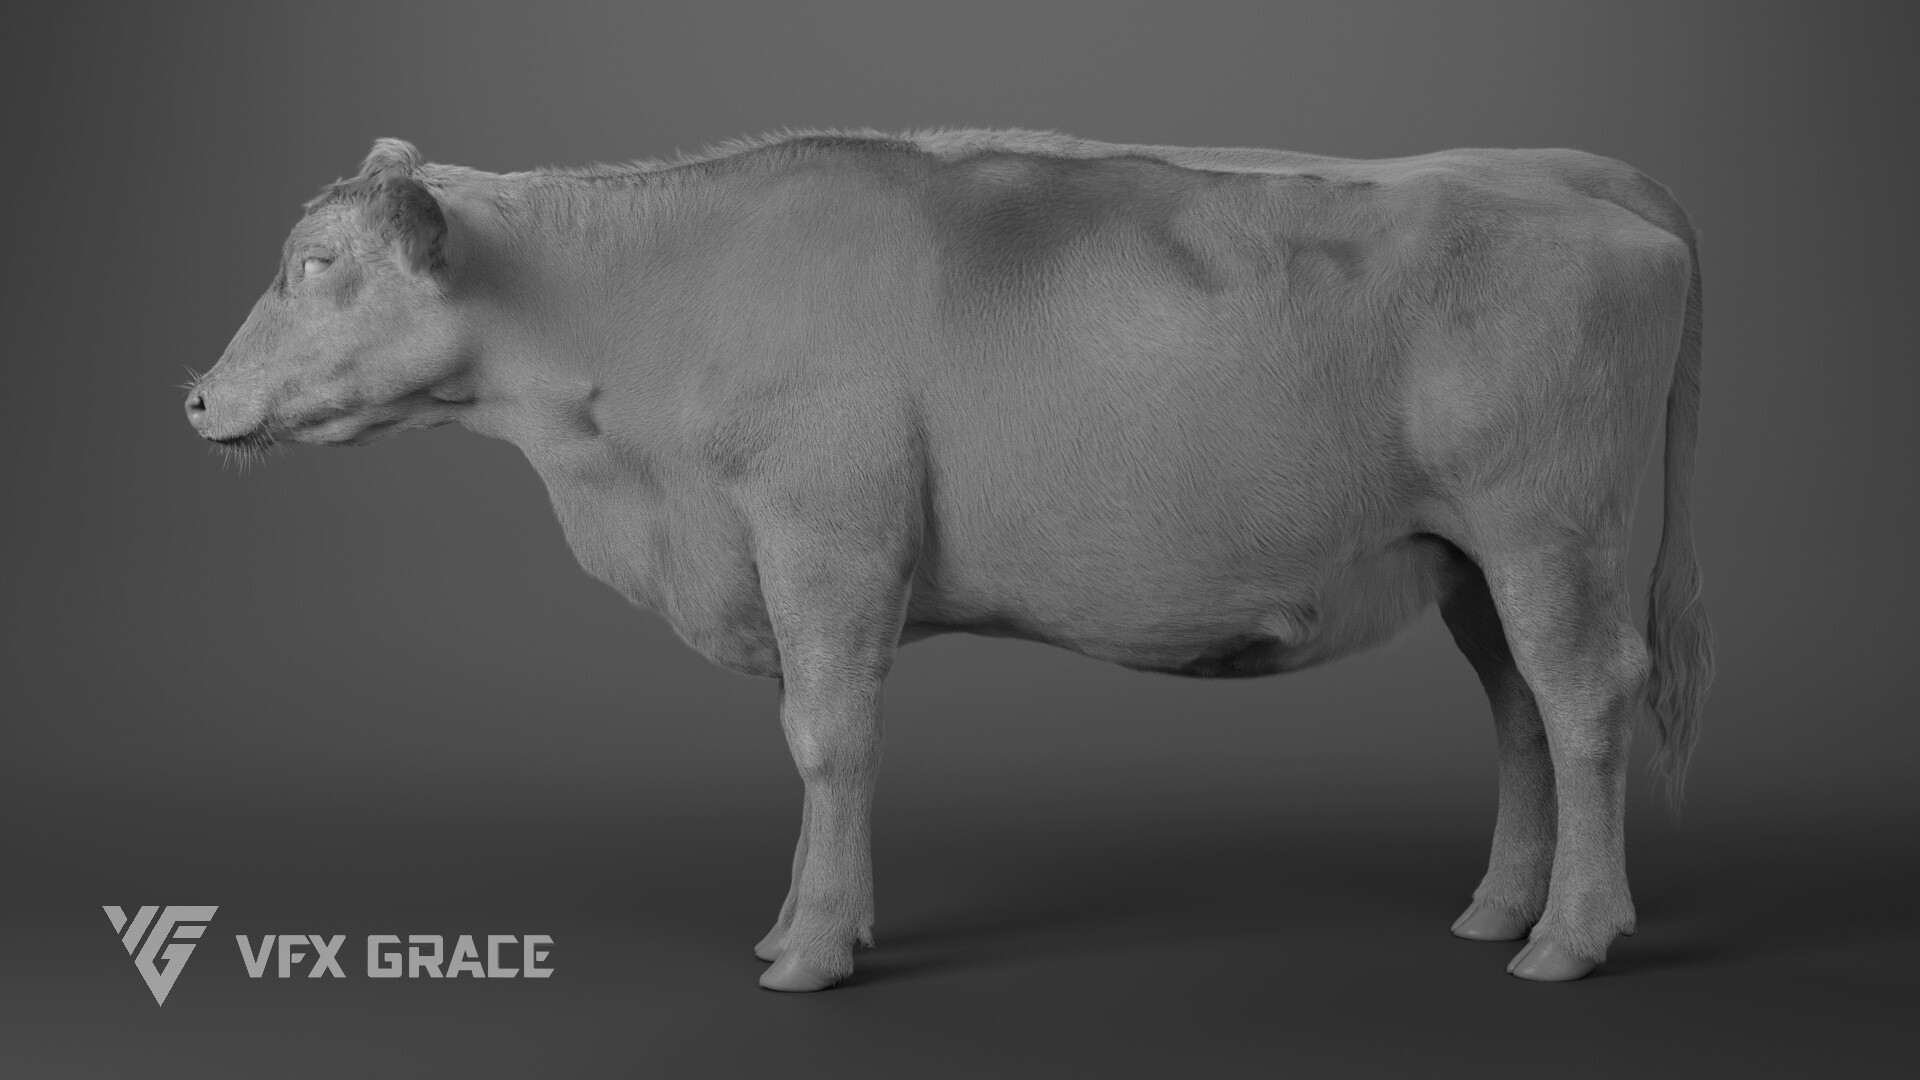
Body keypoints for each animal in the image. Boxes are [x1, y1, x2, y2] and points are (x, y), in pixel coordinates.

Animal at [186, 128, 1712, 990]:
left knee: (1584, 699)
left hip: (1546, 530)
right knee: (1520, 710)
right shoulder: (794, 558)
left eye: (317, 263)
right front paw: (803, 925)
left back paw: (1570, 942)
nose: (198, 399)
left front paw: (808, 956)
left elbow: (827, 738)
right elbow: (814, 742)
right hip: (1469, 558)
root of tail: (1585, 174)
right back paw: (1500, 910)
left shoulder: (826, 534)